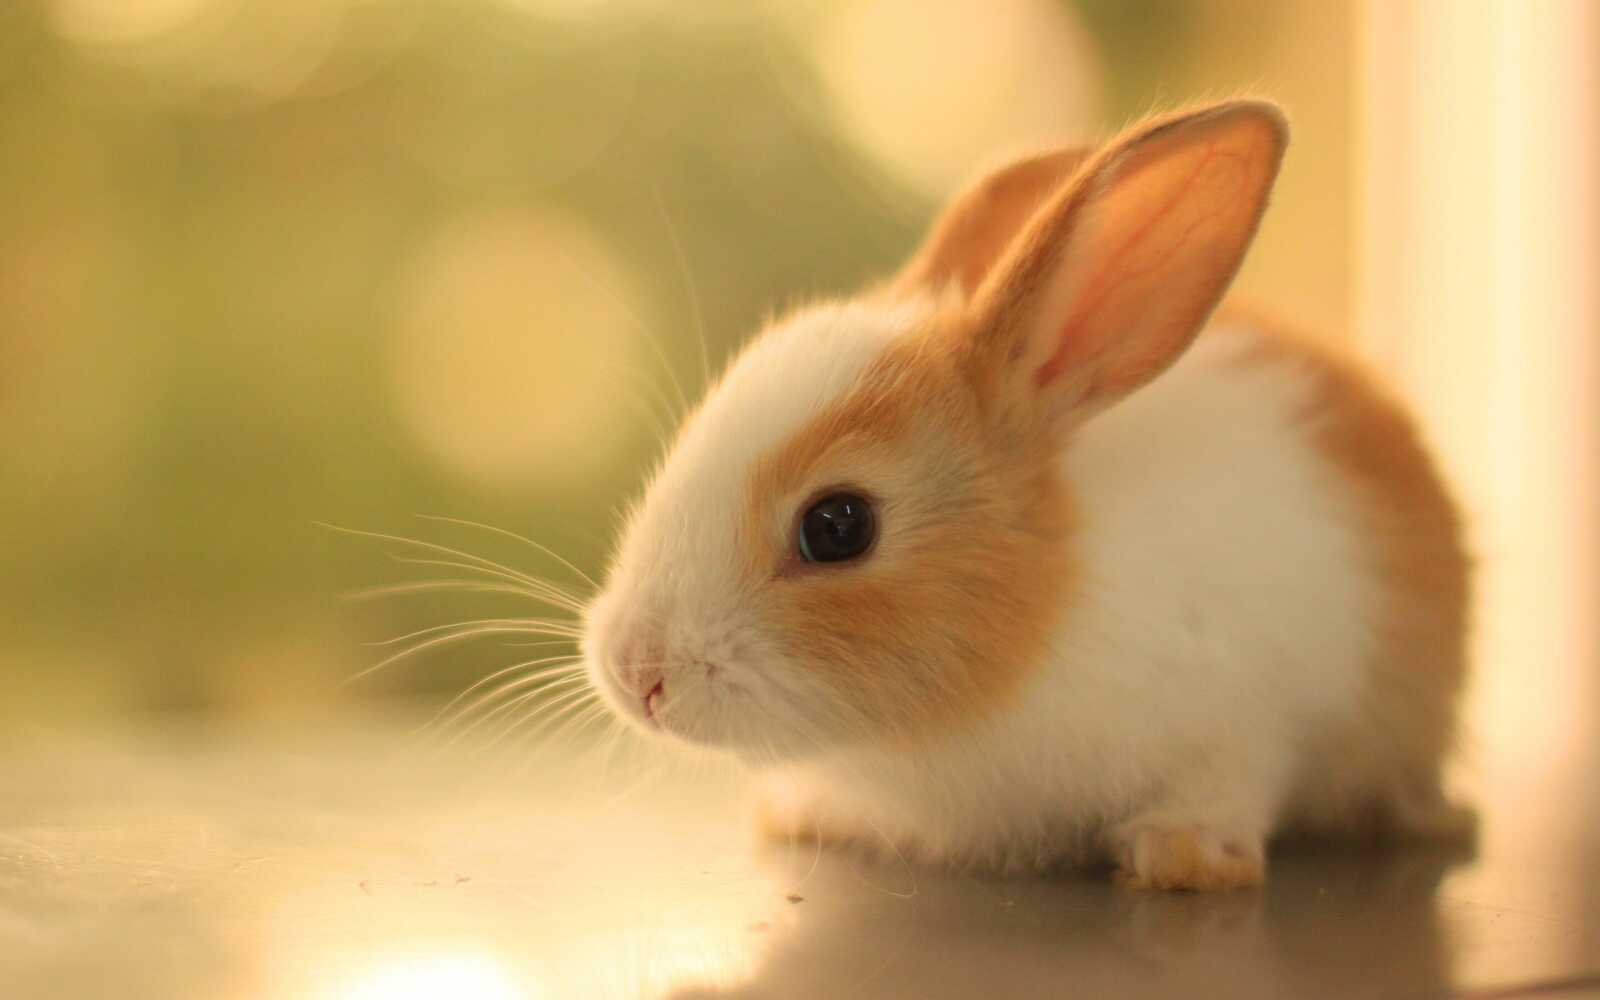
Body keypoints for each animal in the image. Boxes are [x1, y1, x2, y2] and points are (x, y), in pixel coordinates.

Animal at [580, 99, 1473, 890]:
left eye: (837, 526)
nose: (636, 672)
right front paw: (805, 813)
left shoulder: (1249, 717)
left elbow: (1226, 784)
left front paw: (1184, 857)